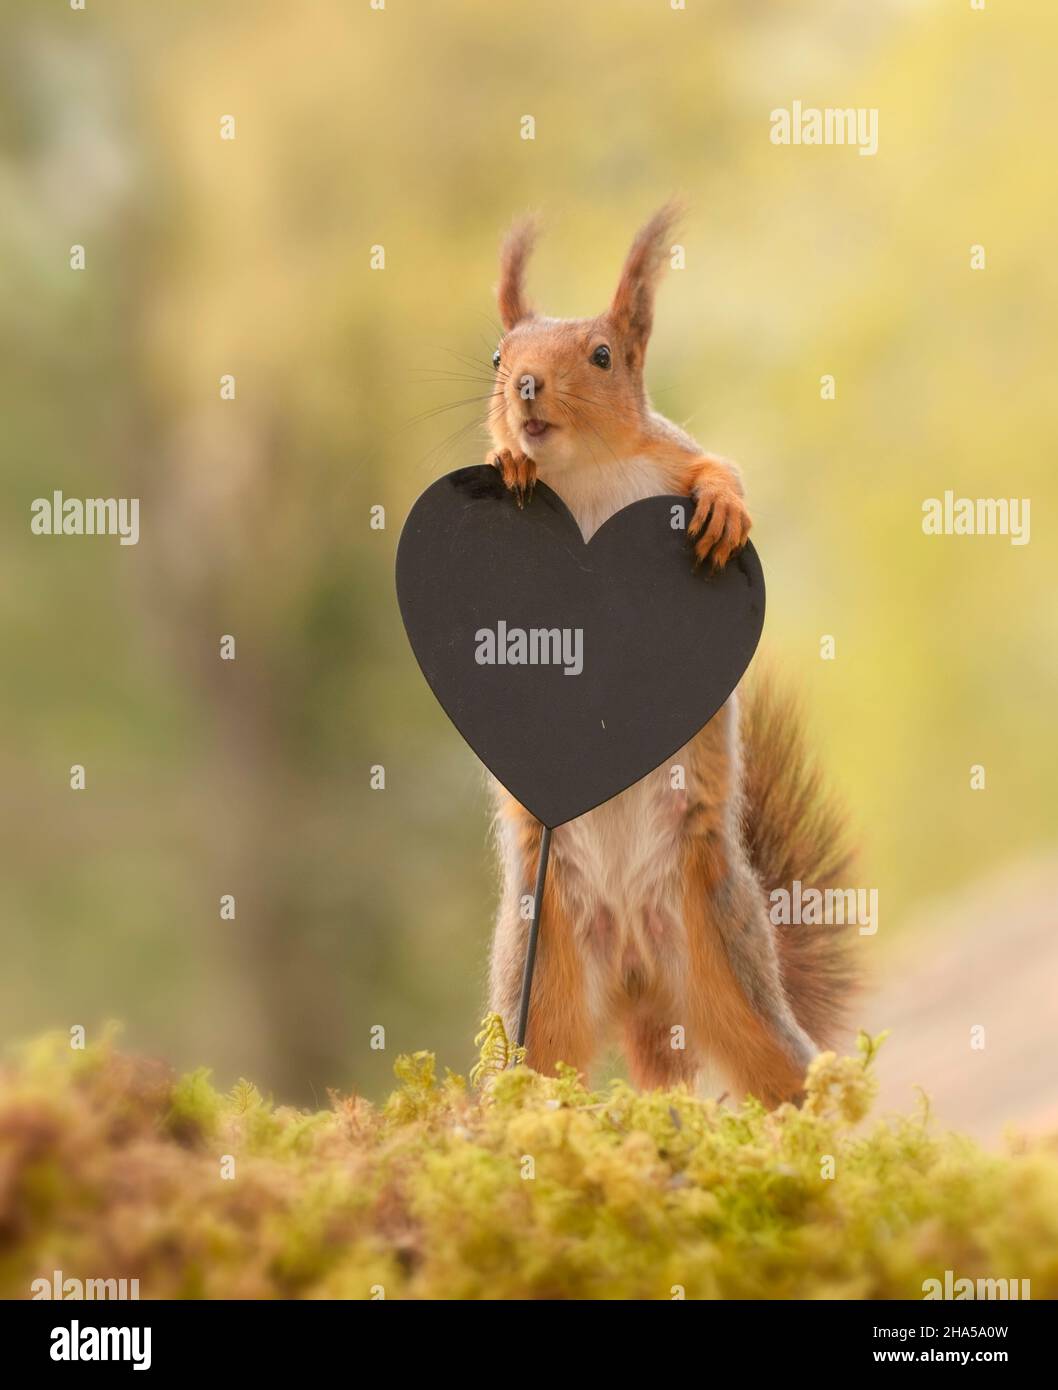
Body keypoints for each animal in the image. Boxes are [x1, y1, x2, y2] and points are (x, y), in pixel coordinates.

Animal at [483, 204, 855, 1105]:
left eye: (603, 355)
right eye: (498, 358)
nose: (525, 389)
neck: (583, 477)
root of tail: (636, 981)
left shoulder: (674, 455)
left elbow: (719, 467)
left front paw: (723, 508)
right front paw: (506, 456)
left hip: (725, 962)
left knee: (787, 1073)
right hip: (539, 978)